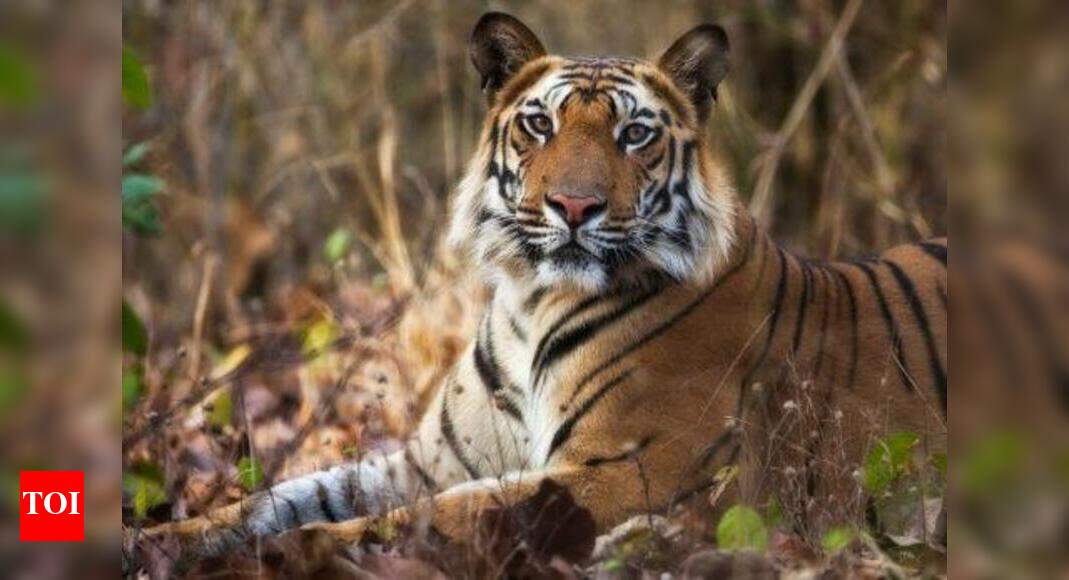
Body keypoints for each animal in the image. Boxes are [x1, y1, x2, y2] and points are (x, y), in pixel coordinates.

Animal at [139, 12, 948, 559]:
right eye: (538, 124)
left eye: (633, 134)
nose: (574, 206)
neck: (530, 302)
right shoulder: (429, 460)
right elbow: (287, 495)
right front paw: (172, 539)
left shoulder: (624, 469)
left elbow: (431, 516)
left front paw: (300, 552)